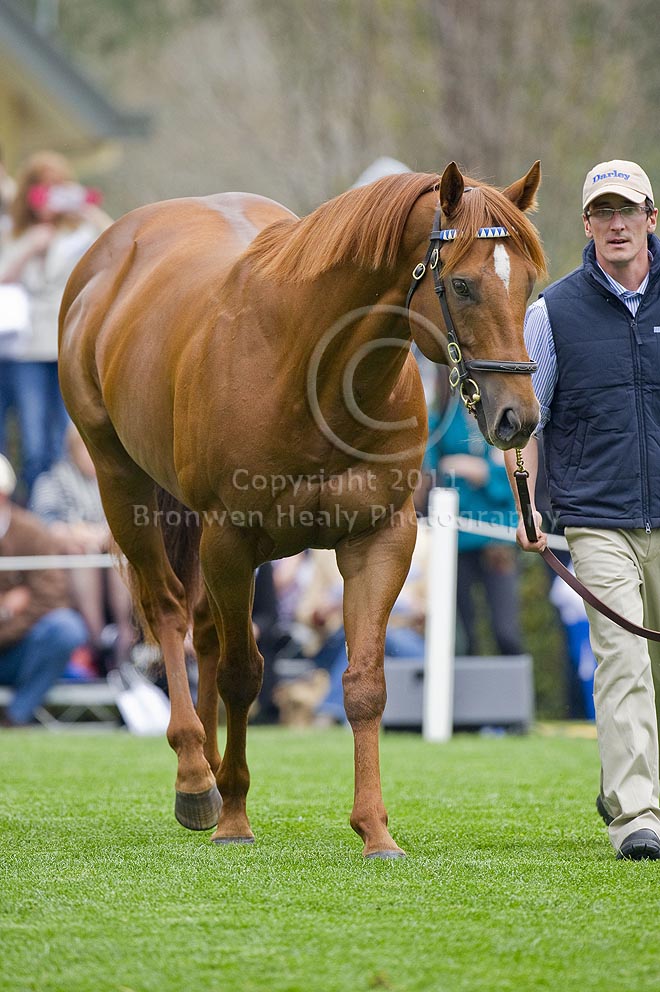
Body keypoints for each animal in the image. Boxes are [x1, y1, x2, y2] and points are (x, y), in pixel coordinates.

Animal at [59, 161, 546, 858]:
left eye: (530, 283)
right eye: (461, 284)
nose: (519, 418)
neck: (309, 371)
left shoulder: (380, 539)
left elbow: (365, 685)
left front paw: (375, 829)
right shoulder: (231, 539)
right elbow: (244, 674)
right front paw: (234, 819)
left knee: (204, 628)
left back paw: (211, 766)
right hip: (120, 484)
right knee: (169, 613)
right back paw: (196, 778)